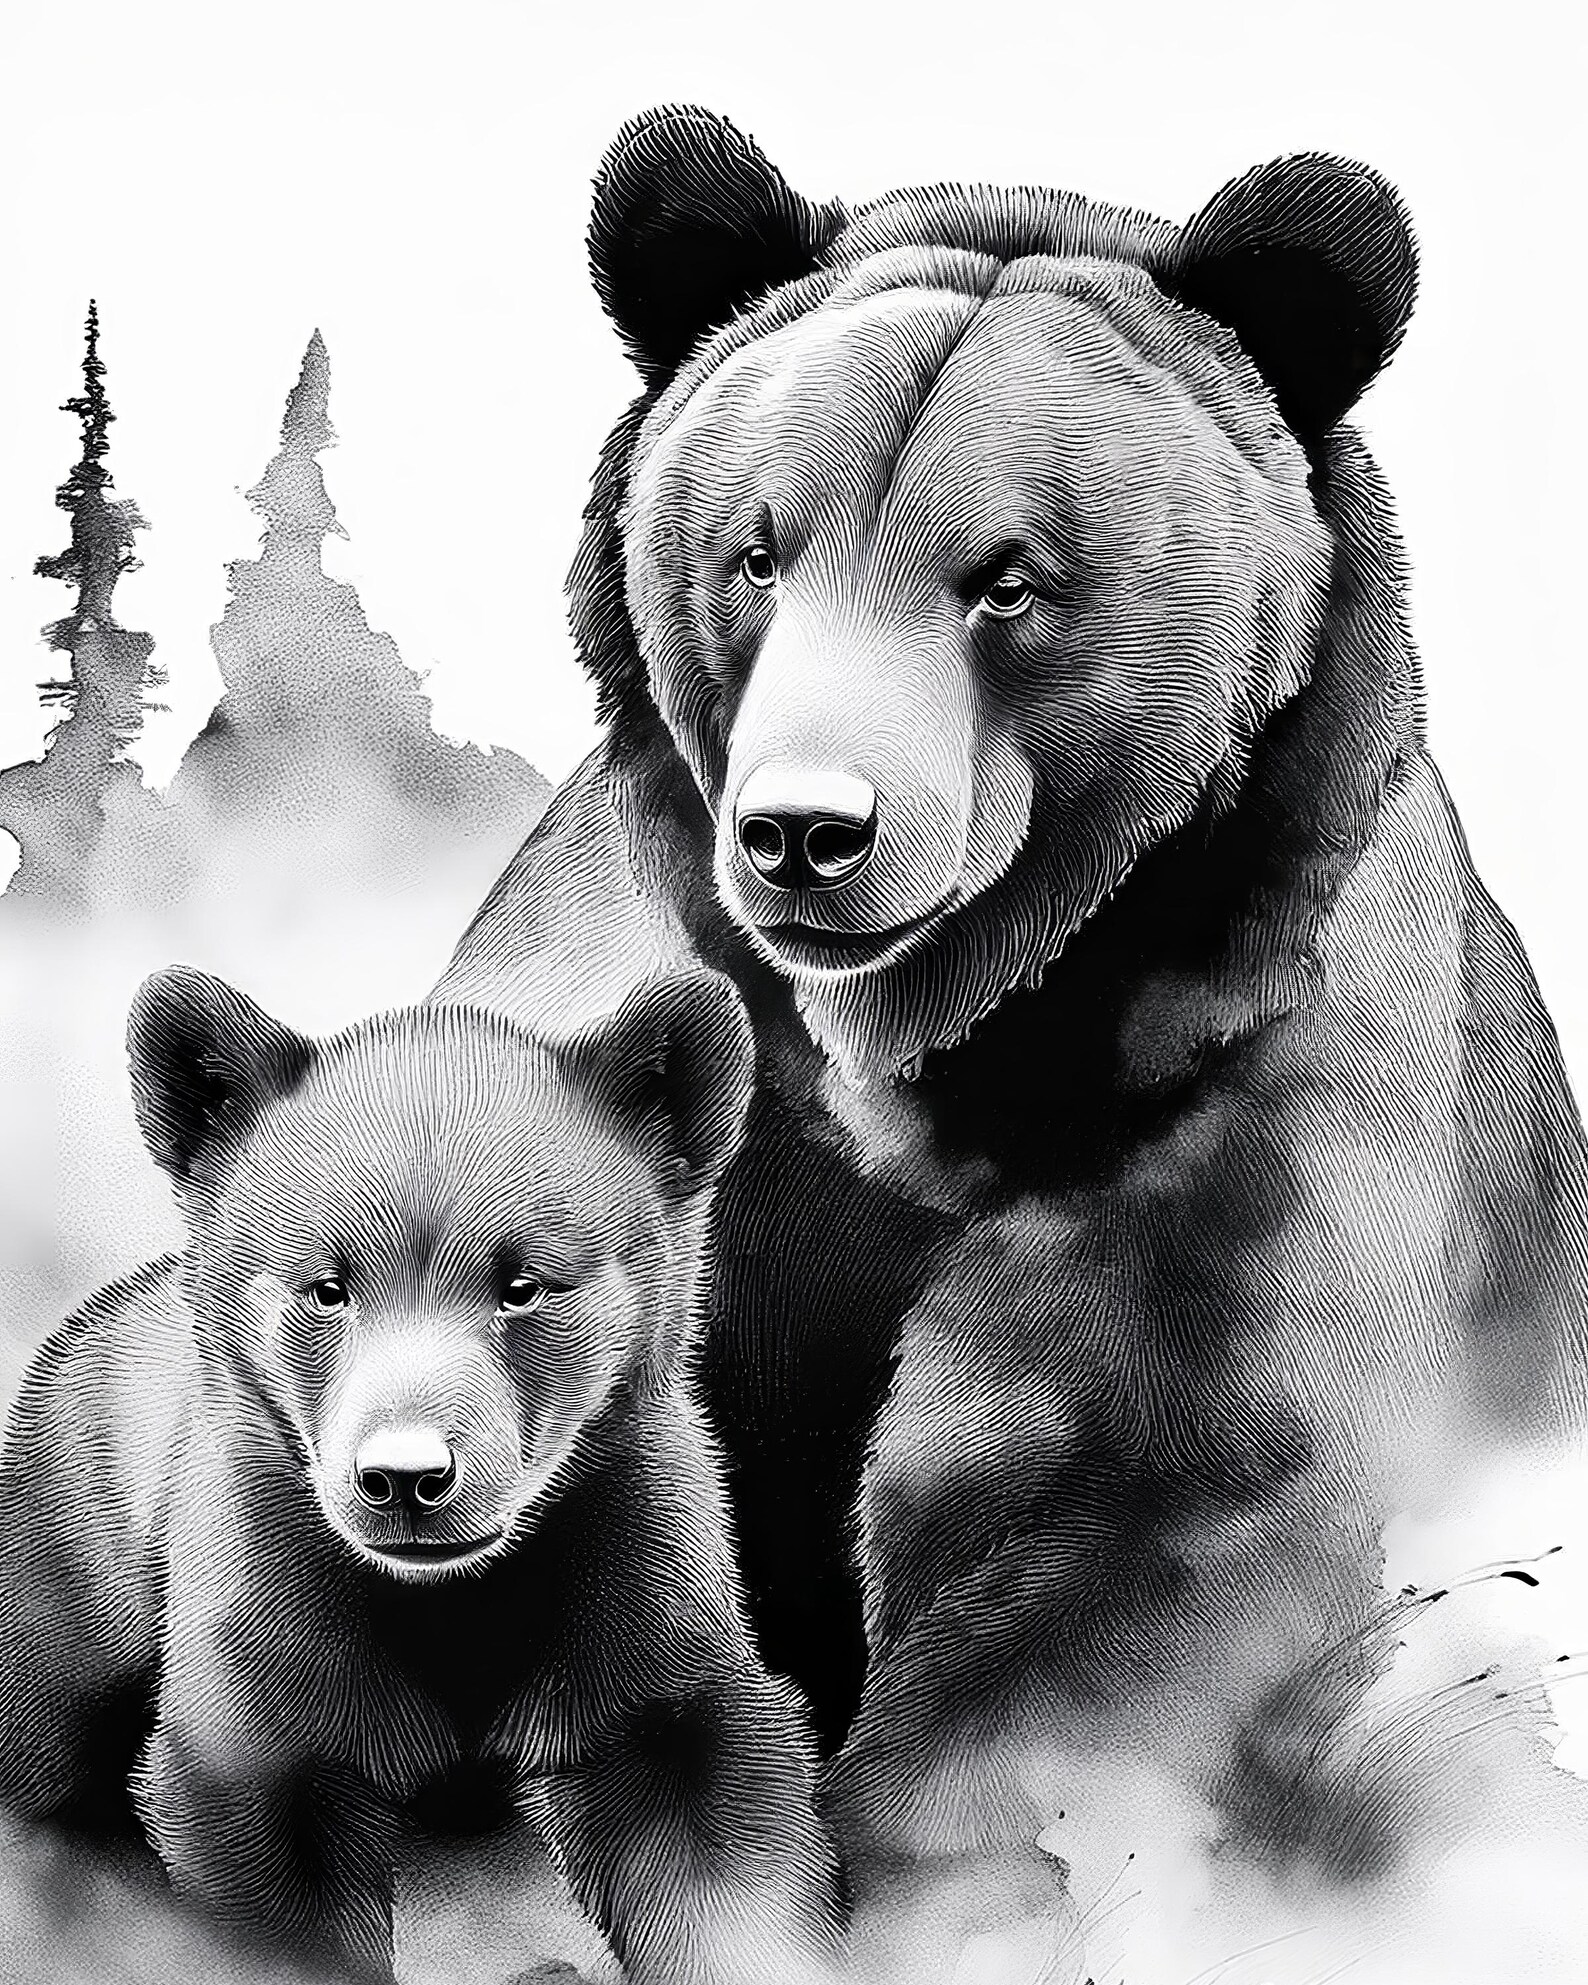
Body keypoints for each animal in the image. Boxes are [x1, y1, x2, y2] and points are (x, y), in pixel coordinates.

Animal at [0, 961, 844, 1985]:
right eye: (327, 1286)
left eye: (524, 1285)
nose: (406, 1475)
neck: (455, 1604)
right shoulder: (265, 1628)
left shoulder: (639, 1591)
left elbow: (717, 1845)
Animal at [431, 105, 1588, 1972]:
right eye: (757, 550)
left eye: (1011, 582)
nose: (807, 831)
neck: (918, 1051)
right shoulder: (641, 1058)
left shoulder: (1256, 1107)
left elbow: (1160, 1523)